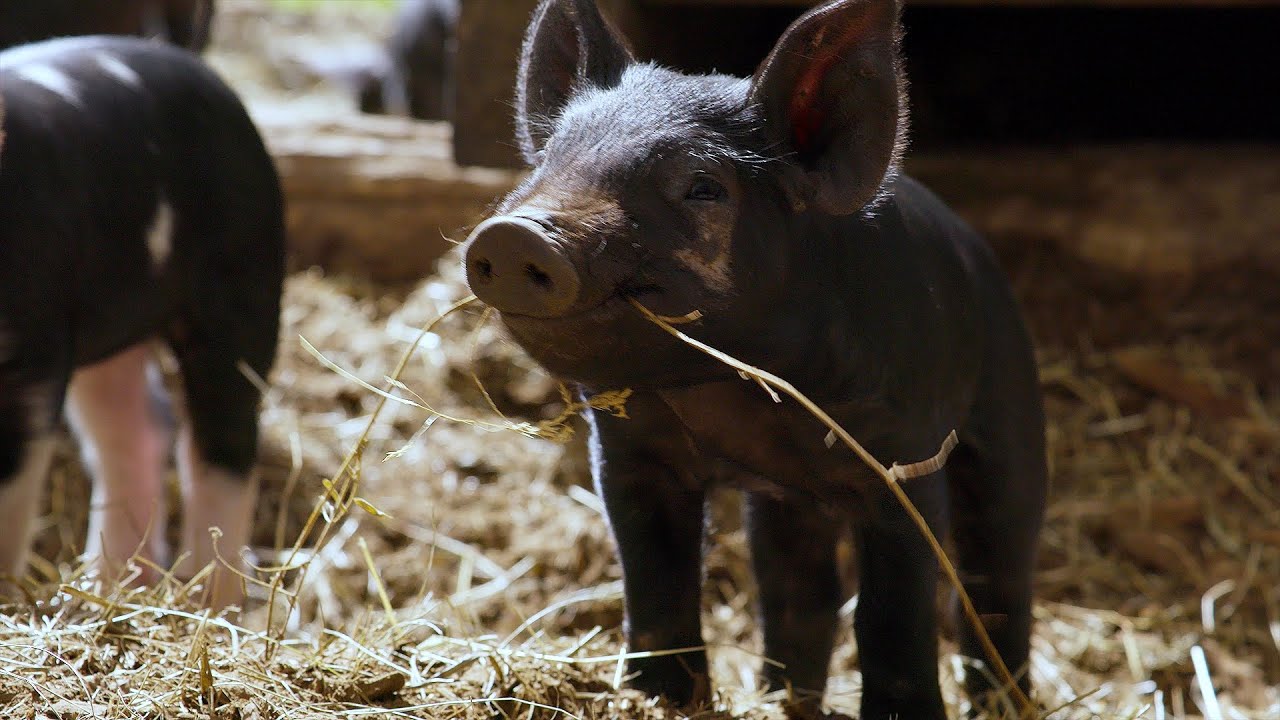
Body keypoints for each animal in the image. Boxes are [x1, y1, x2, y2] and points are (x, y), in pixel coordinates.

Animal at [0, 35, 283, 609]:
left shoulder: (32, 354)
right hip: (113, 336)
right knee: (135, 432)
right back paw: (111, 591)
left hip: (245, 281)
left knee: (221, 445)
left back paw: (207, 605)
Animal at [461, 0, 1047, 717]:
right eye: (547, 159)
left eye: (702, 187)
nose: (514, 236)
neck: (732, 392)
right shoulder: (631, 453)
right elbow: (655, 583)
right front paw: (656, 697)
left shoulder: (902, 462)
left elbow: (891, 615)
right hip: (783, 505)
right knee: (799, 589)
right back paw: (781, 696)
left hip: (1010, 412)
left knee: (999, 576)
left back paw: (1005, 699)